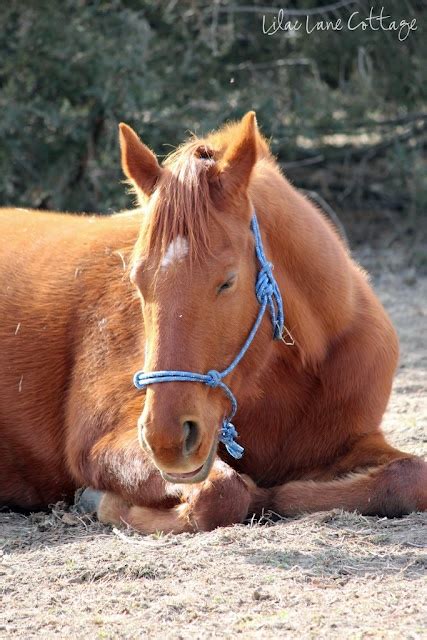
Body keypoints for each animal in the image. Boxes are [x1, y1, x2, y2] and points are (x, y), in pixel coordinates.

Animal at [0, 112, 425, 533]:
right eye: (137, 281)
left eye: (227, 281)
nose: (167, 439)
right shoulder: (102, 444)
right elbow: (223, 492)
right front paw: (103, 502)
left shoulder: (353, 439)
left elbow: (410, 477)